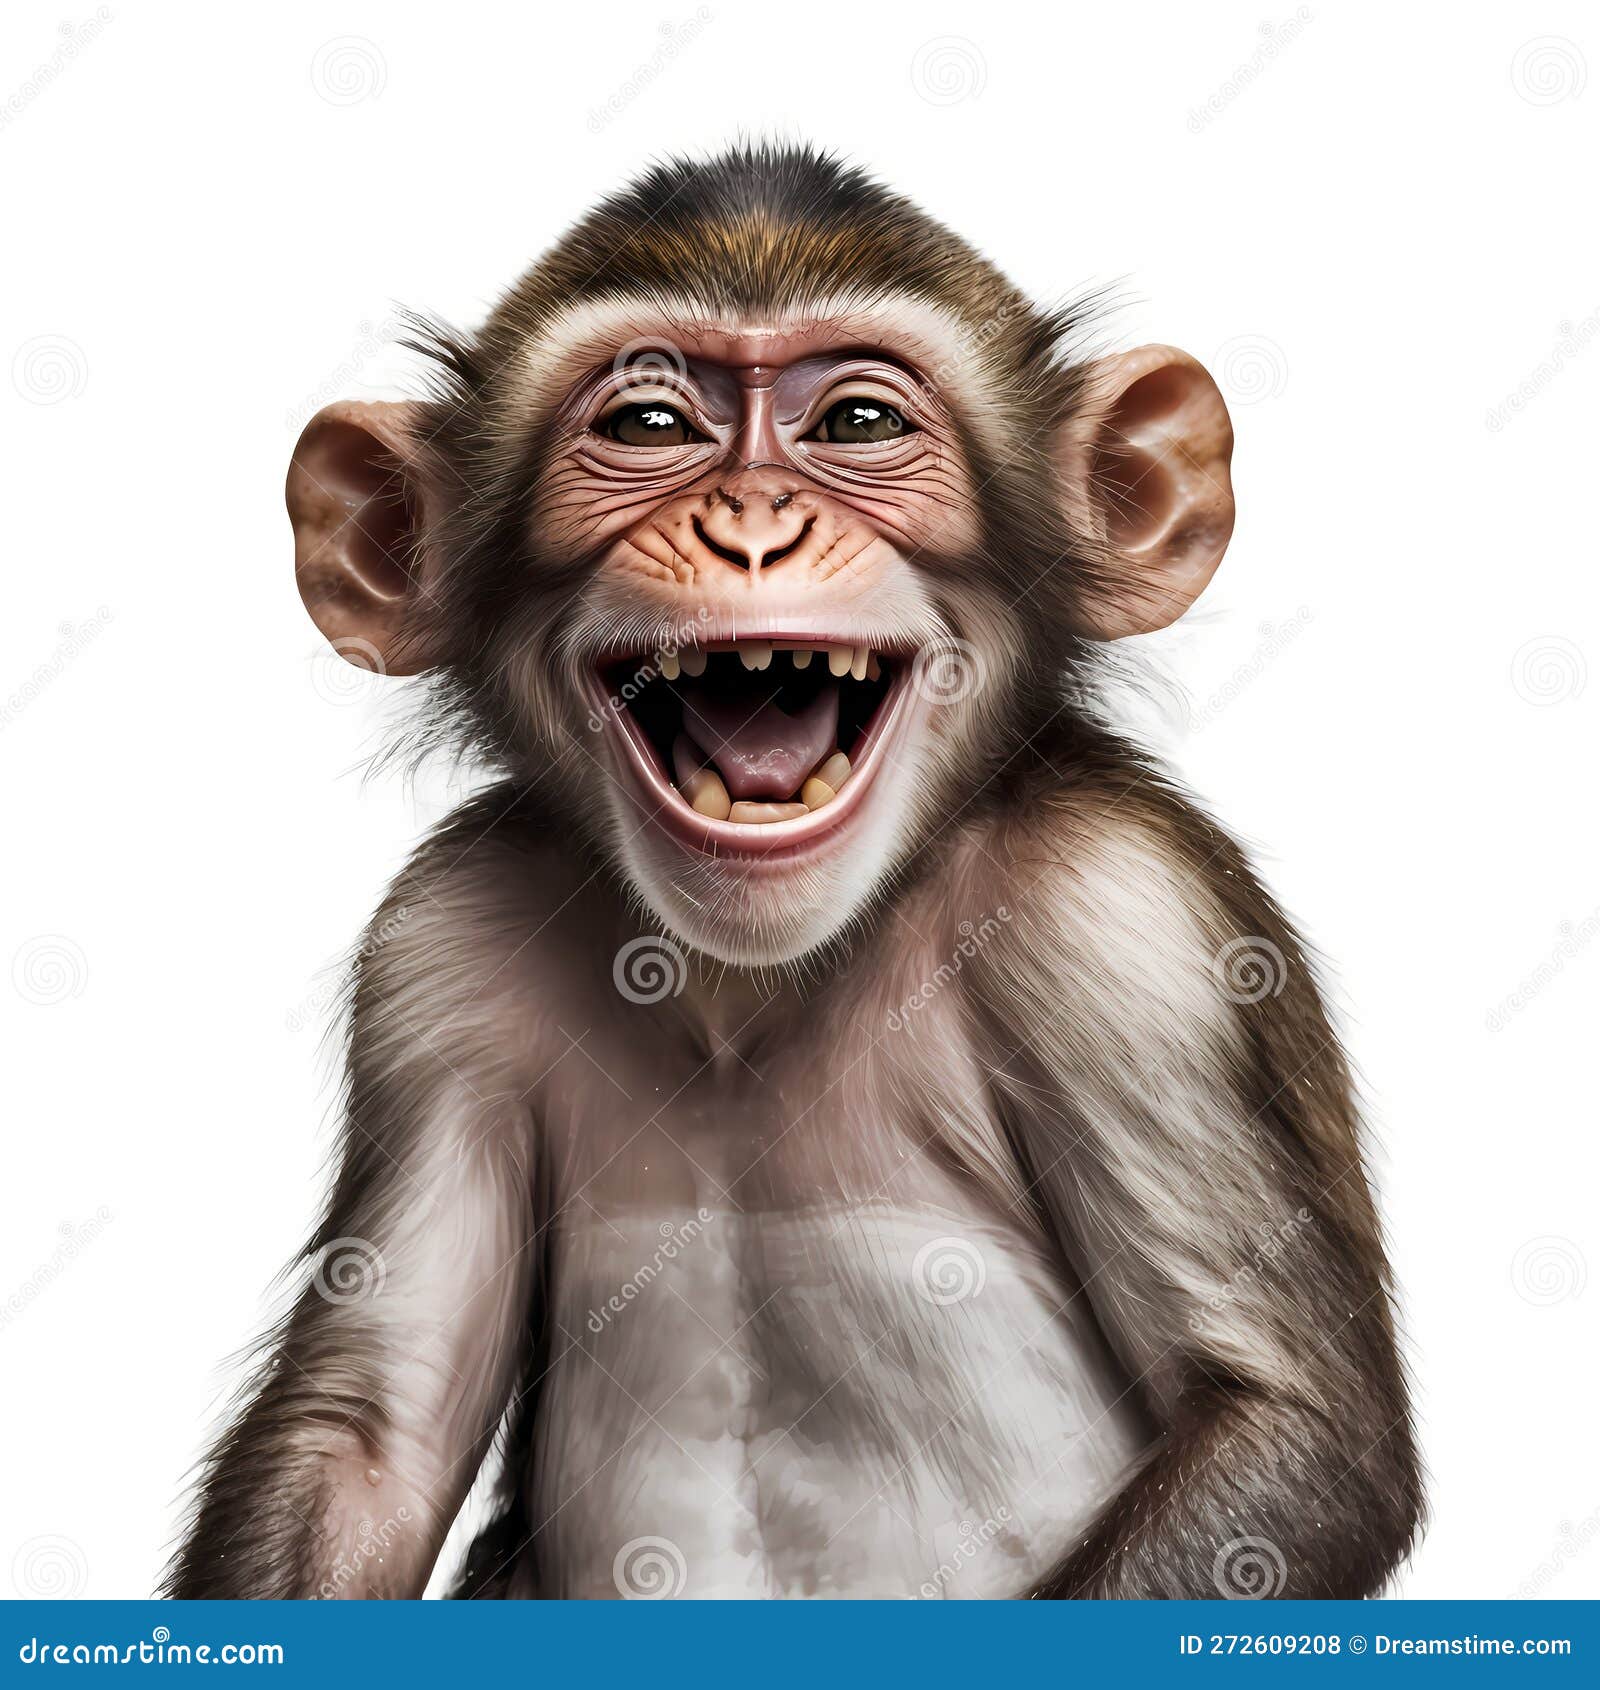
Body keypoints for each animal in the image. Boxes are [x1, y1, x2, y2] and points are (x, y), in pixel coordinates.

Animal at [165, 144, 1422, 1601]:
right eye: (650, 425)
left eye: (861, 423)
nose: (754, 524)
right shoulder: (431, 951)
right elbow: (372, 1434)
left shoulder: (1124, 927)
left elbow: (1274, 1413)